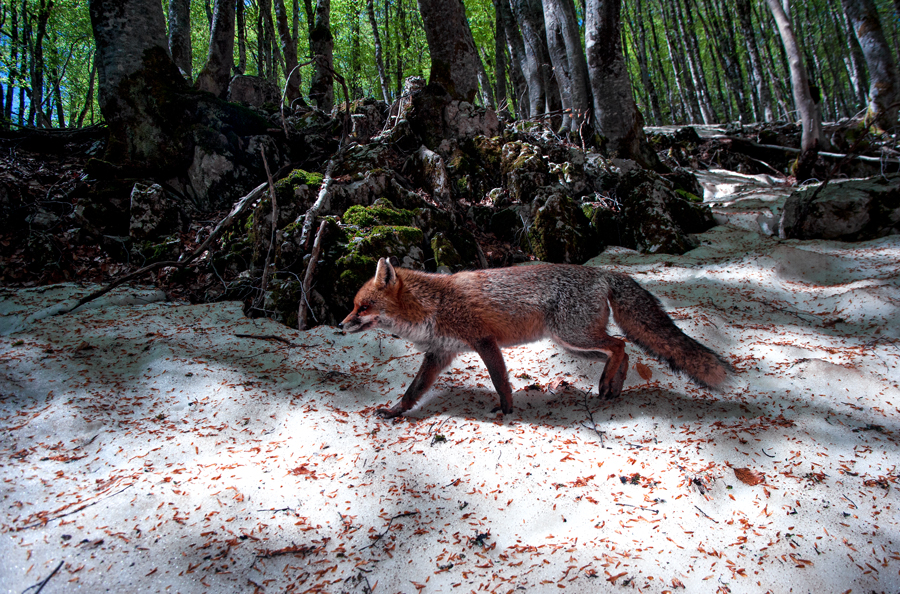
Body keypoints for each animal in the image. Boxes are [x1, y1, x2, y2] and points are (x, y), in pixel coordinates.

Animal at [340, 257, 730, 419]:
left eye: (362, 307)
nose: (340, 326)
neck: (432, 306)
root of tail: (603, 271)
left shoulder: (484, 341)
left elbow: (500, 380)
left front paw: (507, 410)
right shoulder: (439, 354)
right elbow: (412, 391)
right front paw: (394, 412)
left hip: (573, 335)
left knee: (619, 345)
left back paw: (608, 385)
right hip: (573, 344)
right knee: (624, 352)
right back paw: (612, 388)